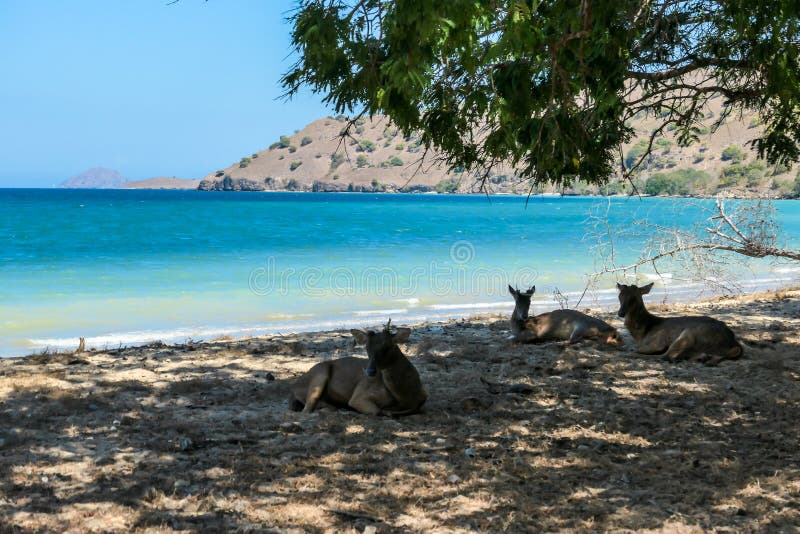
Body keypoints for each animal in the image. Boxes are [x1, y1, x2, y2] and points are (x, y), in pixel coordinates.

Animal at [289, 320, 427, 416]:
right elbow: (377, 410)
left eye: (387, 347)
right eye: (367, 348)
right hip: (320, 373)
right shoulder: (359, 395)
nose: (370, 371)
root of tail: (295, 387)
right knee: (307, 410)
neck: (406, 395)